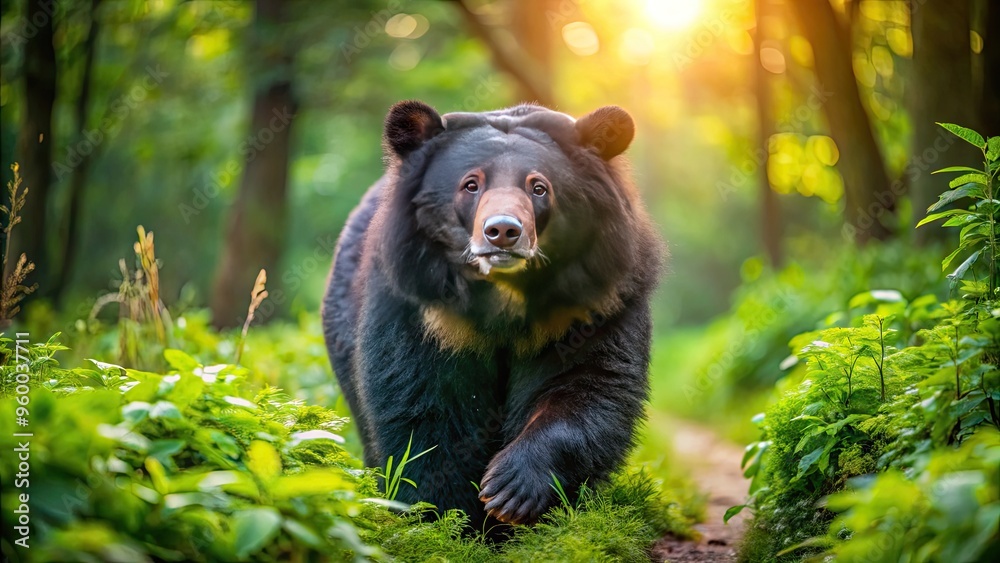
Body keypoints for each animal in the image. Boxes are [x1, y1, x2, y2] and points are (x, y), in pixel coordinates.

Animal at [321, 100, 663, 532]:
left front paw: (510, 492)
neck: (505, 297)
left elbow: (589, 385)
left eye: (538, 187)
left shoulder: (592, 306)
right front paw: (443, 516)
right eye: (471, 184)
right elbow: (423, 403)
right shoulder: (423, 310)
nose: (502, 231)